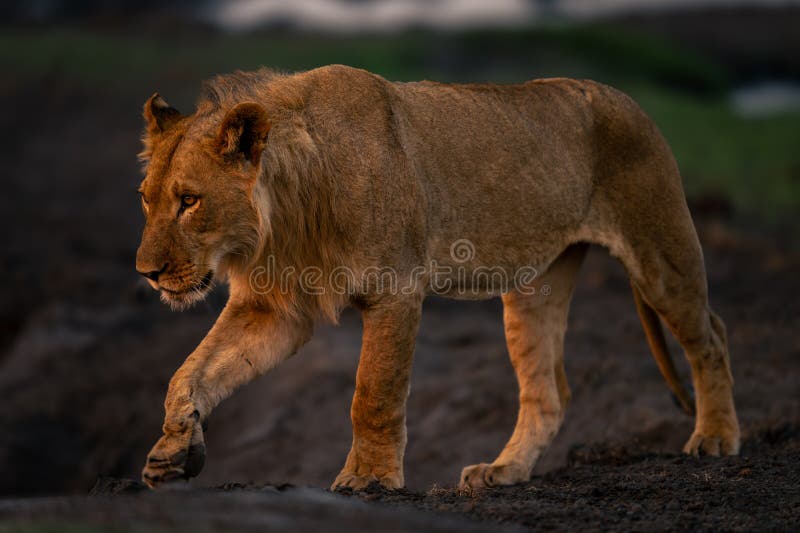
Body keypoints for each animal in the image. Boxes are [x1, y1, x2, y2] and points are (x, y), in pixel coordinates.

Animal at [136, 65, 740, 490]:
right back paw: (503, 471)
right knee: (548, 392)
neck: (286, 215)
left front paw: (369, 479)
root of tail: (625, 97)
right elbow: (190, 373)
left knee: (711, 335)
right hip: (535, 288)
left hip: (659, 250)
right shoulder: (274, 308)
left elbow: (373, 393)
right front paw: (172, 450)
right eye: (146, 199)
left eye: (189, 201)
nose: (147, 273)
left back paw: (715, 436)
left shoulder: (395, 290)